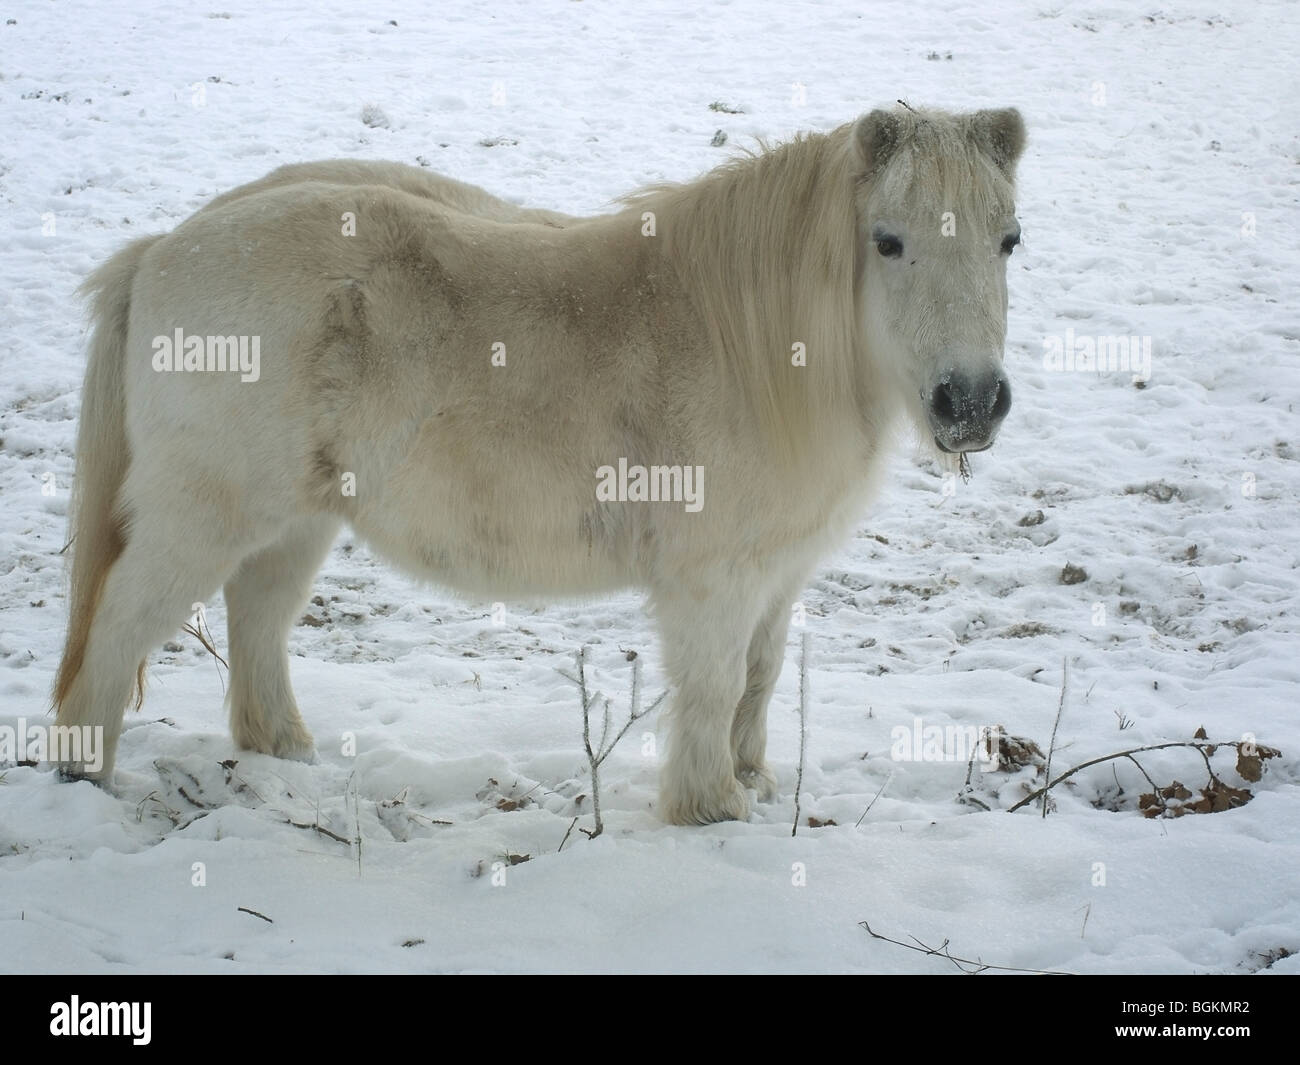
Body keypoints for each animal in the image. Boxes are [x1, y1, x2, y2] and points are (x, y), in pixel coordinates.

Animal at [52, 105, 1025, 824]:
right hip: (202, 517)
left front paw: (752, 782)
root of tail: (161, 249)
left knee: (257, 617)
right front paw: (712, 811)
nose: (970, 403)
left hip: (295, 520)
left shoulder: (776, 577)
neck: (753, 347)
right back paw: (88, 778)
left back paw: (287, 754)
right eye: (887, 240)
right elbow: (713, 688)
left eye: (1009, 239)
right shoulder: (713, 581)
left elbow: (758, 680)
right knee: (119, 625)